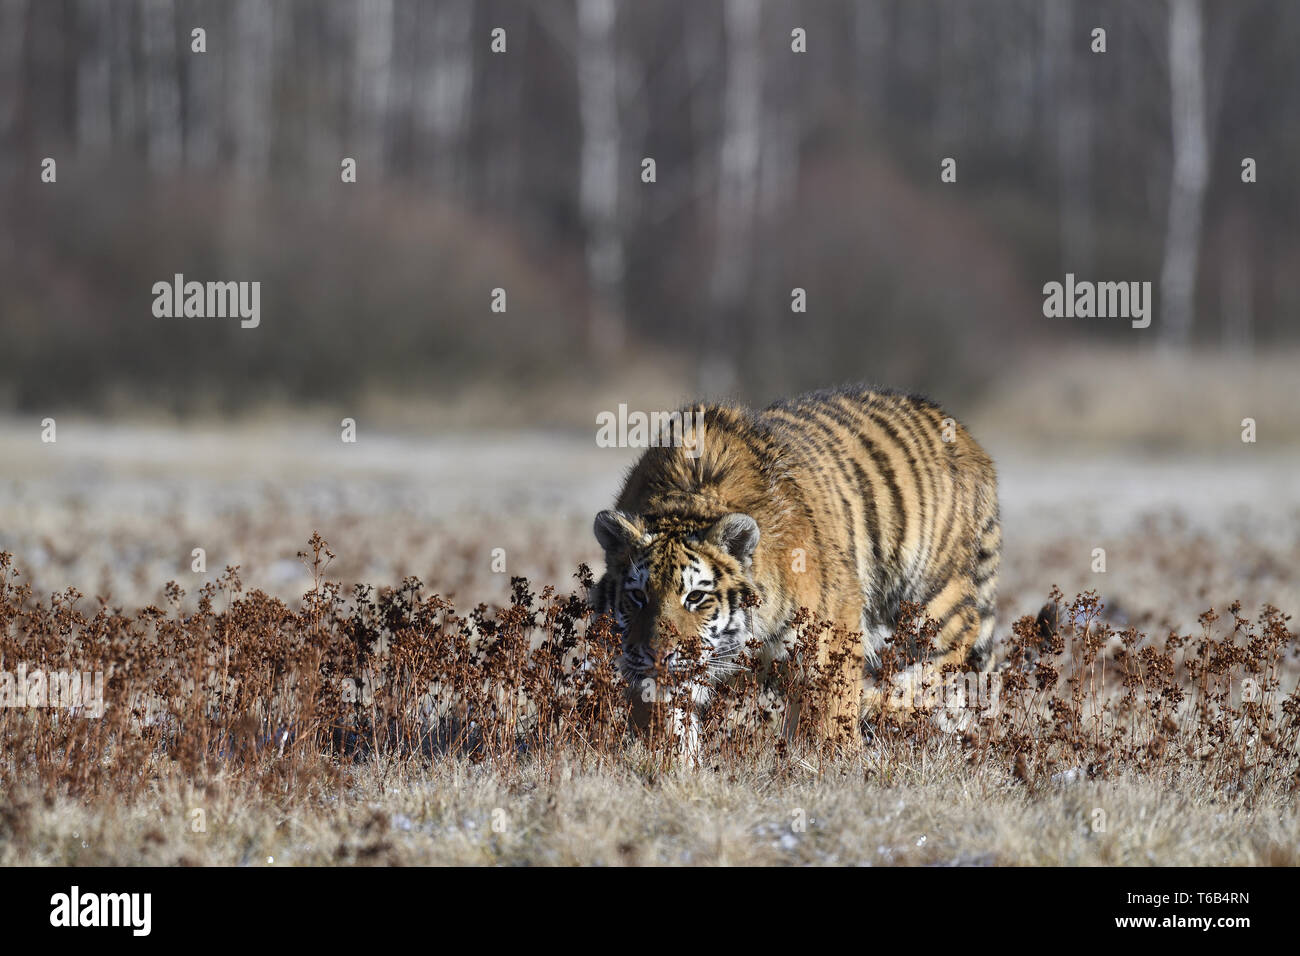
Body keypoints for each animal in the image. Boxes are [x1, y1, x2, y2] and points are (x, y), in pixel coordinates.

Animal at [591, 385, 1000, 746]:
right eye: (638, 597)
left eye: (695, 597)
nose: (658, 655)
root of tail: (968, 438)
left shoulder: (834, 629)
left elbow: (830, 714)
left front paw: (835, 761)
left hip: (931, 593)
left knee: (954, 643)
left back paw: (882, 702)